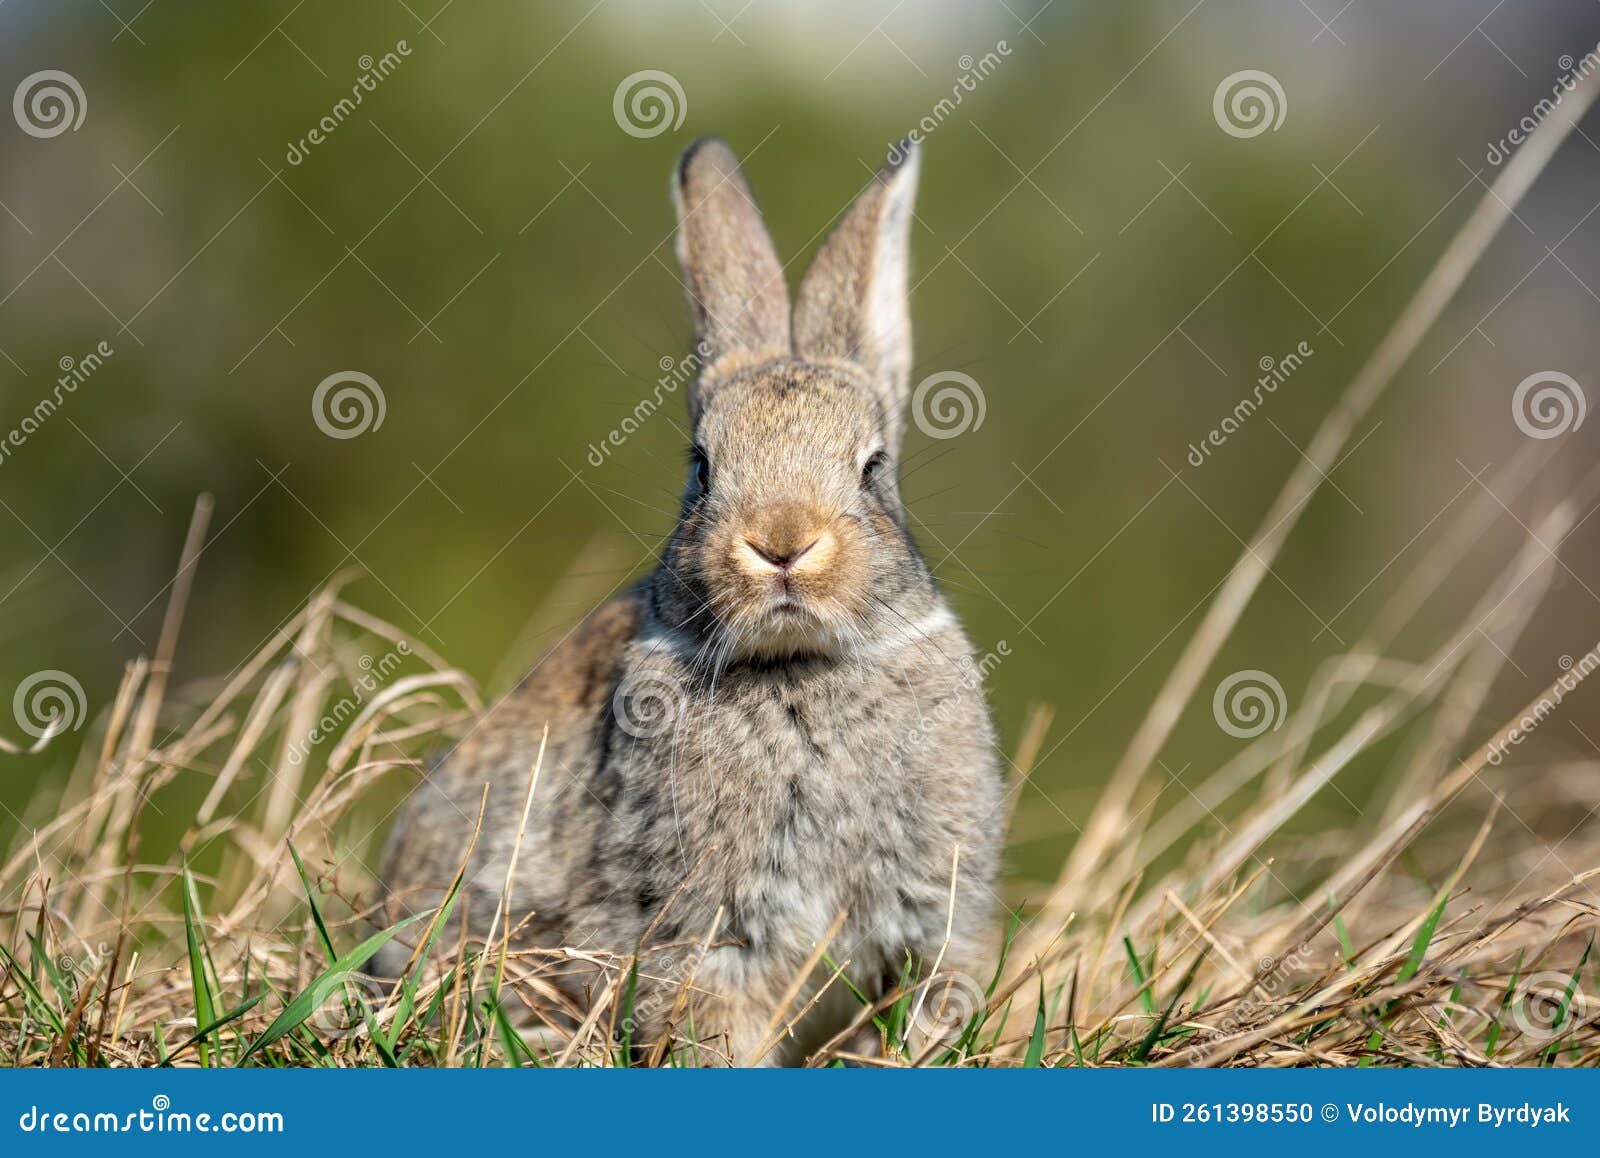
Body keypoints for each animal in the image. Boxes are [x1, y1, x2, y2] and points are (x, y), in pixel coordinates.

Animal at [376, 136, 1004, 1066]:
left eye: (874, 467)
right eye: (701, 469)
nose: (781, 543)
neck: (797, 669)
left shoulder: (931, 924)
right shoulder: (695, 936)